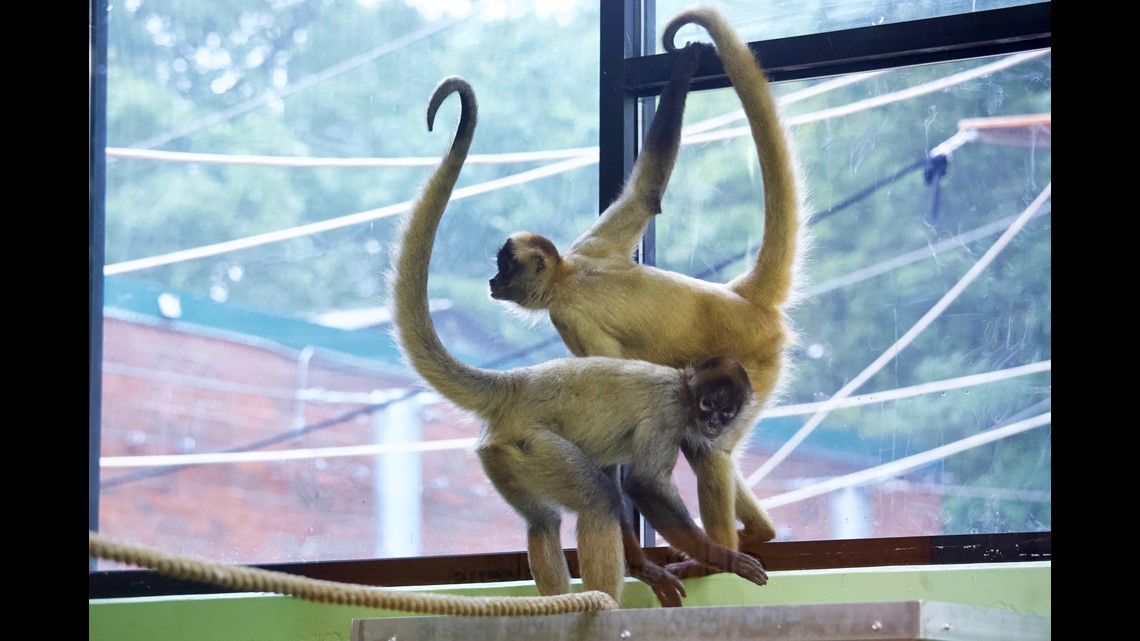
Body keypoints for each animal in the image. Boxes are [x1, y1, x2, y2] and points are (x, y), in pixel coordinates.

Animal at [386, 72, 767, 608]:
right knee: (598, 500)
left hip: (504, 454)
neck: (683, 387)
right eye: (709, 405)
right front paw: (720, 558)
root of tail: (514, 385)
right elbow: (641, 485)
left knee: (541, 520)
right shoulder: (669, 414)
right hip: (532, 443)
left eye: (727, 411)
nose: (715, 423)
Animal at [488, 4, 809, 577]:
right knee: (705, 446)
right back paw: (759, 535)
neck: (569, 274)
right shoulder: (593, 243)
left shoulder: (571, 315)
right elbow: (647, 192)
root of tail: (743, 298)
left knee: (709, 451)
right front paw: (686, 64)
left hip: (756, 368)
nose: (492, 281)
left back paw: (714, 560)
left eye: (505, 267)